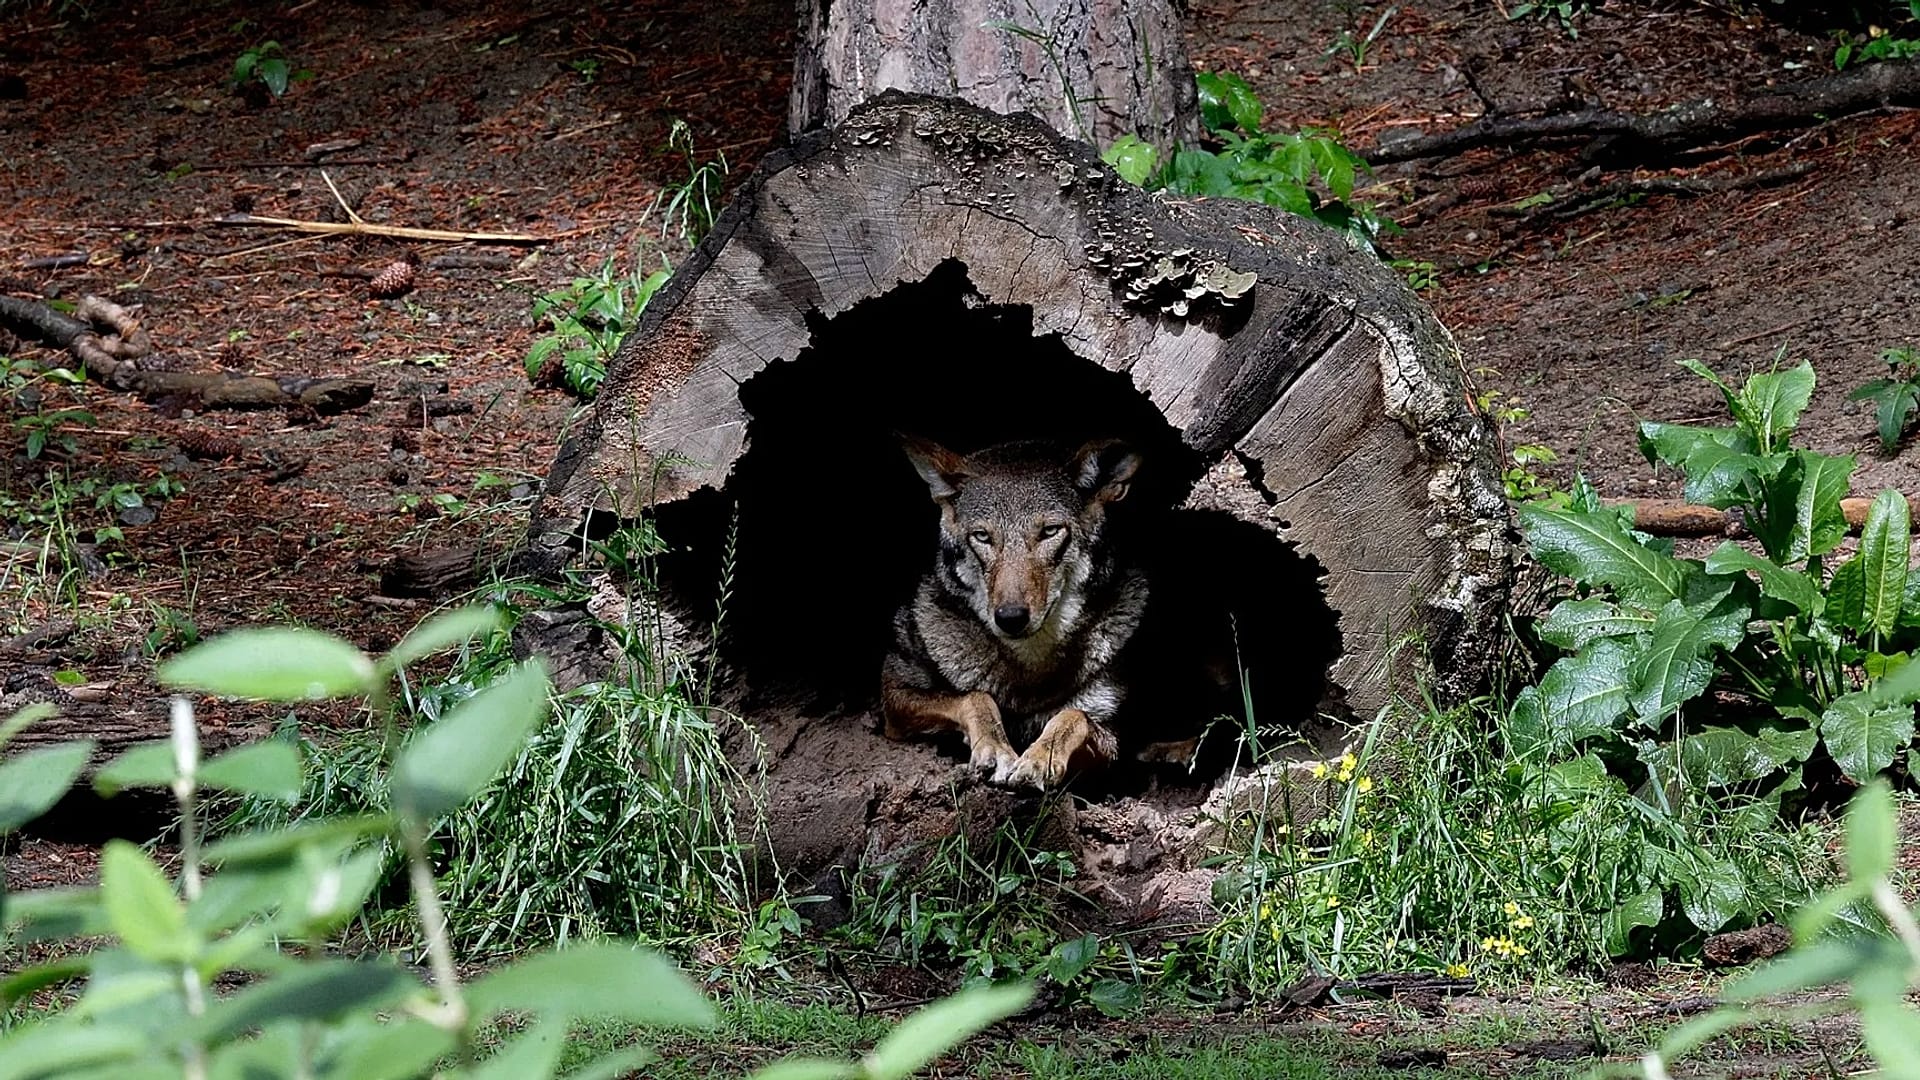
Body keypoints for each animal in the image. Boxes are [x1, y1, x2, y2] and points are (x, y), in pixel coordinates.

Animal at [880, 435, 1150, 790]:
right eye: (982, 536)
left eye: (1050, 531)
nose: (1010, 618)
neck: (1031, 666)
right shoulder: (894, 694)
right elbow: (975, 697)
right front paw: (995, 750)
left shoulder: (1114, 743)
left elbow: (1072, 716)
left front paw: (1039, 758)